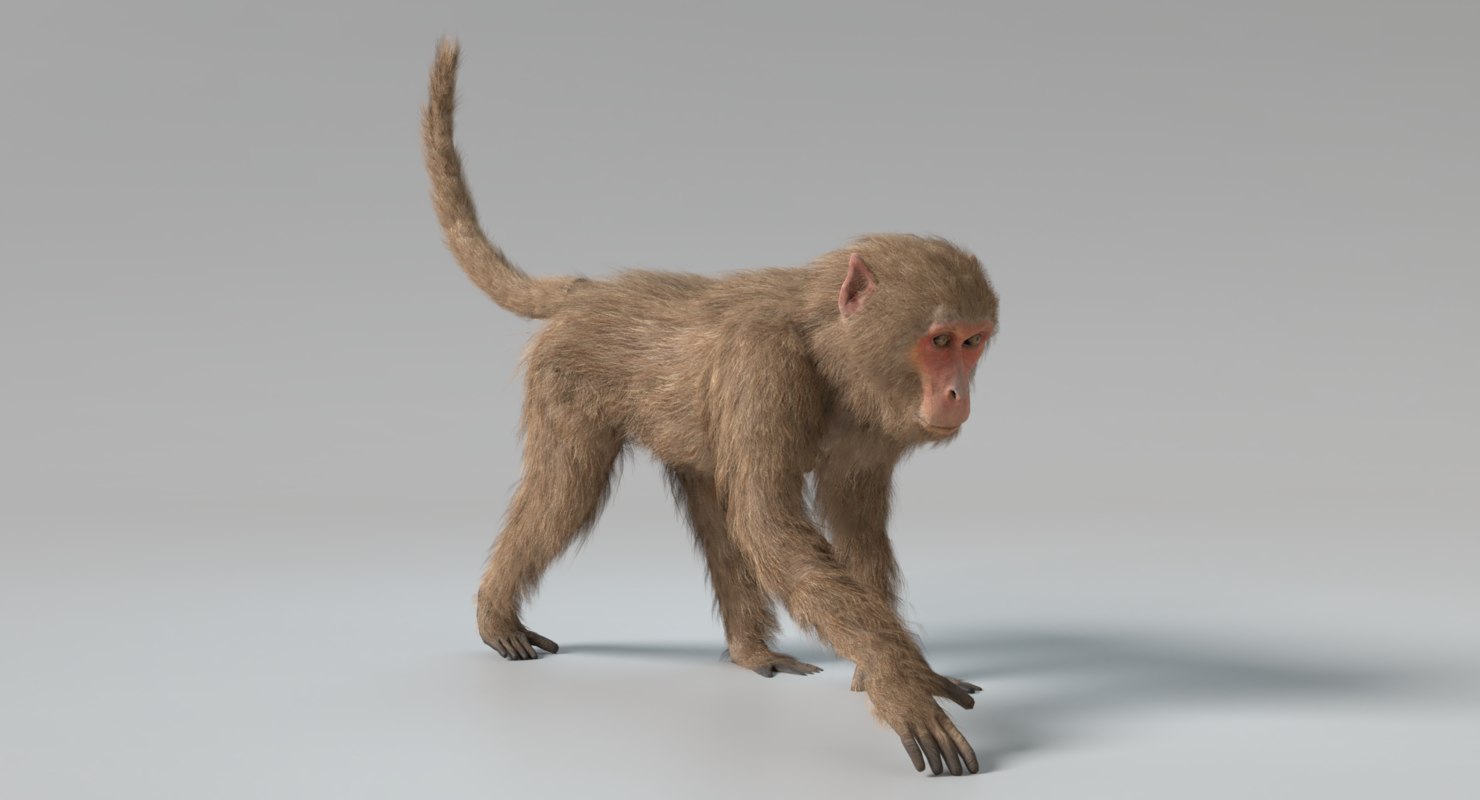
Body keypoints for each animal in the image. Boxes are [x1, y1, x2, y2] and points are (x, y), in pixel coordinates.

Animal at [422, 39, 999, 777]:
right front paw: (901, 684)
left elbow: (850, 528)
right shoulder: (764, 365)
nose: (958, 392)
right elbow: (771, 528)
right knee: (566, 492)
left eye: (973, 343)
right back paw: (497, 616)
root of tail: (590, 292)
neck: (823, 341)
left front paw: (901, 670)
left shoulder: (874, 419)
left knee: (711, 499)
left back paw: (751, 653)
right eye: (940, 342)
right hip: (565, 374)